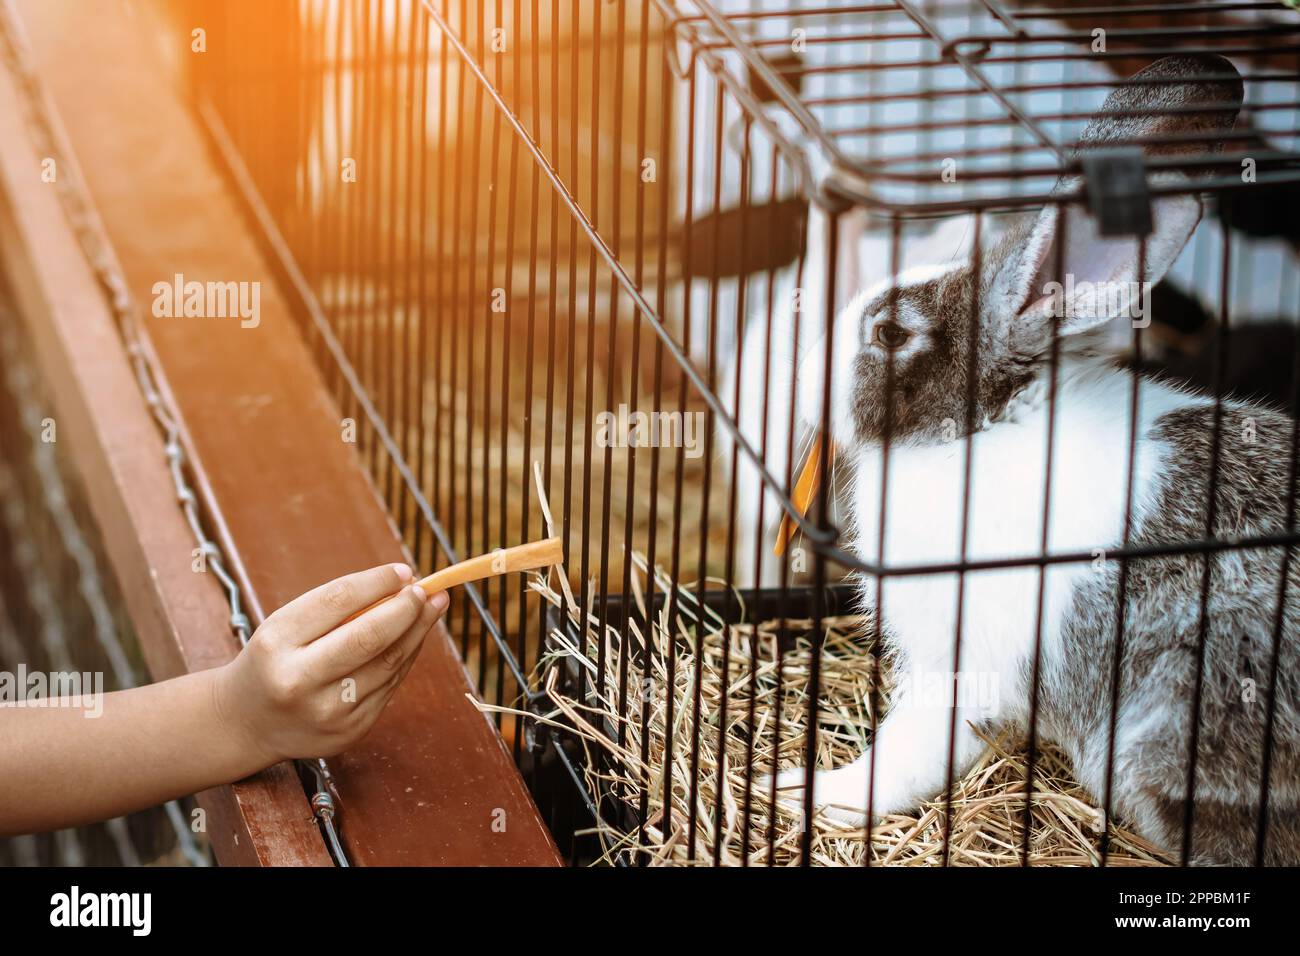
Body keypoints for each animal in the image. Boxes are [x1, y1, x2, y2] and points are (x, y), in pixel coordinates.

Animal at [769, 54, 1300, 865]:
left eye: (889, 334)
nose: (802, 376)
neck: (972, 432)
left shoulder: (962, 664)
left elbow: (906, 756)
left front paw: (805, 791)